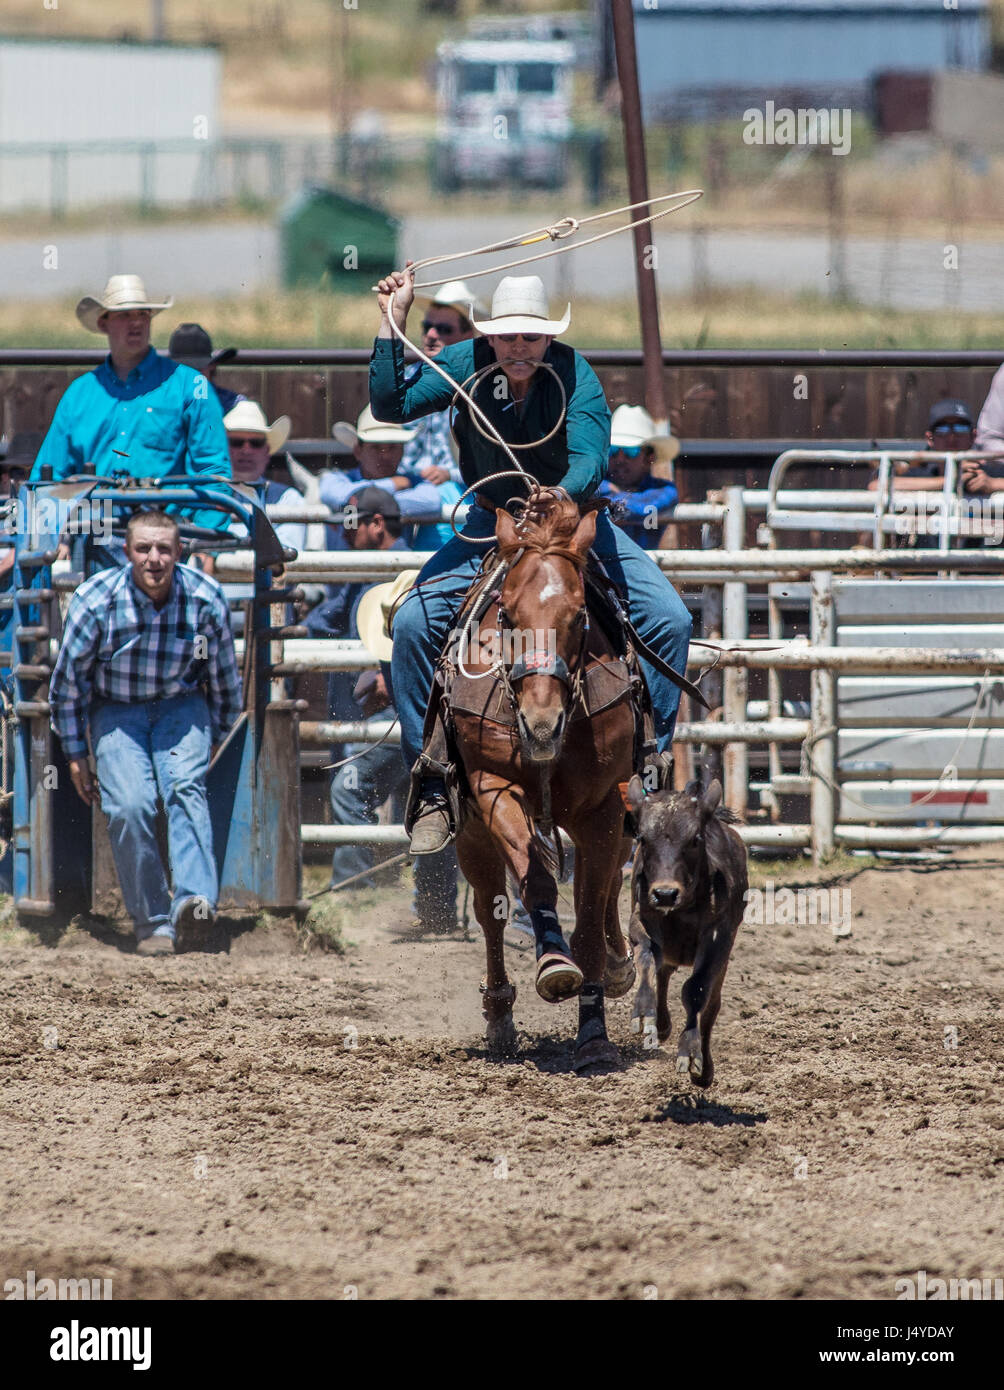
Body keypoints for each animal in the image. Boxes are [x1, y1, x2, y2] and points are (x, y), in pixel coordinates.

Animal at [625, 777, 748, 1088]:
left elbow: (695, 991)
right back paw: (661, 1023)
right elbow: (646, 959)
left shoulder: (719, 937)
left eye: (694, 839)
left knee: (711, 1008)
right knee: (663, 971)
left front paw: (690, 1054)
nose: (665, 894)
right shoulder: (640, 918)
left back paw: (704, 1070)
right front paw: (644, 1013)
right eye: (643, 839)